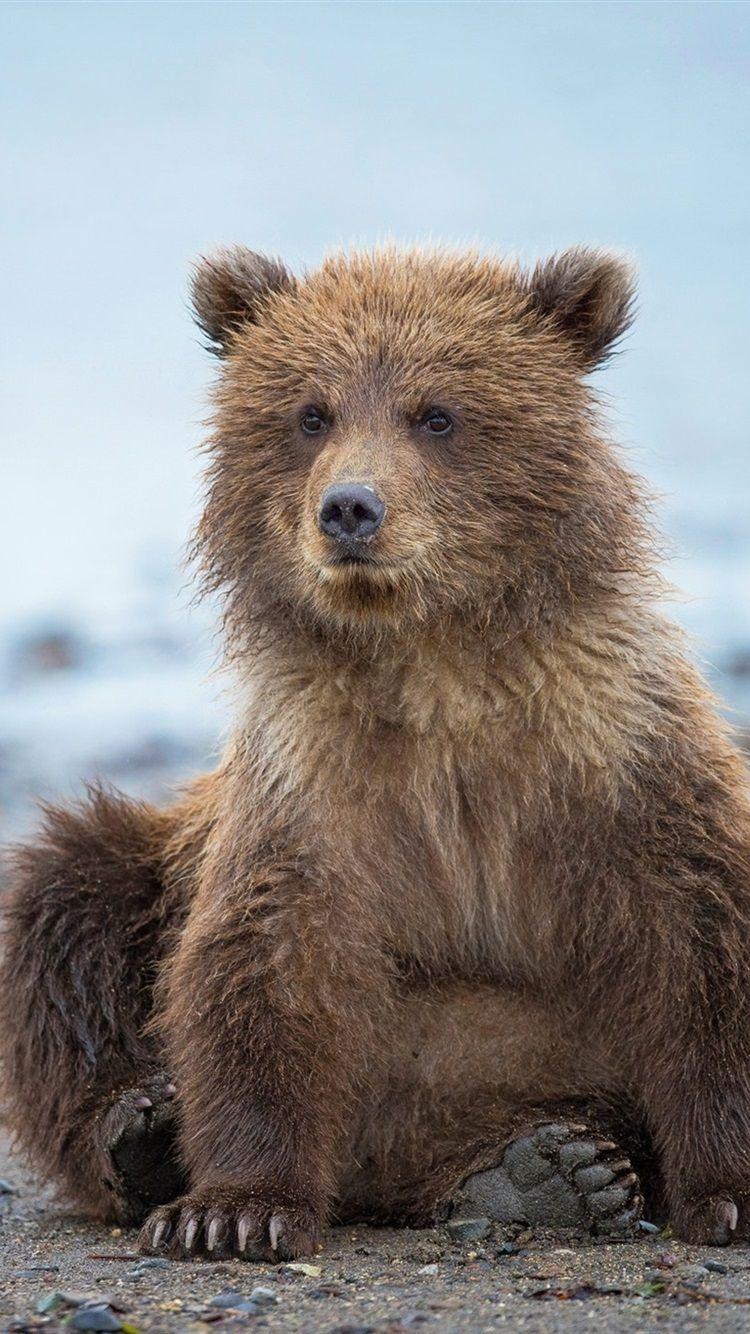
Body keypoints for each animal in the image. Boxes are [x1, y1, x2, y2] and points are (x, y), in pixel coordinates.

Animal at [2, 244, 750, 1261]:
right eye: (310, 412)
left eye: (437, 413)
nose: (350, 507)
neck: (435, 663)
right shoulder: (314, 778)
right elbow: (268, 957)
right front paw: (232, 1208)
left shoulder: (618, 749)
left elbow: (701, 934)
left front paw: (729, 1190)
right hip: (158, 869)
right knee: (64, 899)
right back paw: (142, 1132)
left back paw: (549, 1170)